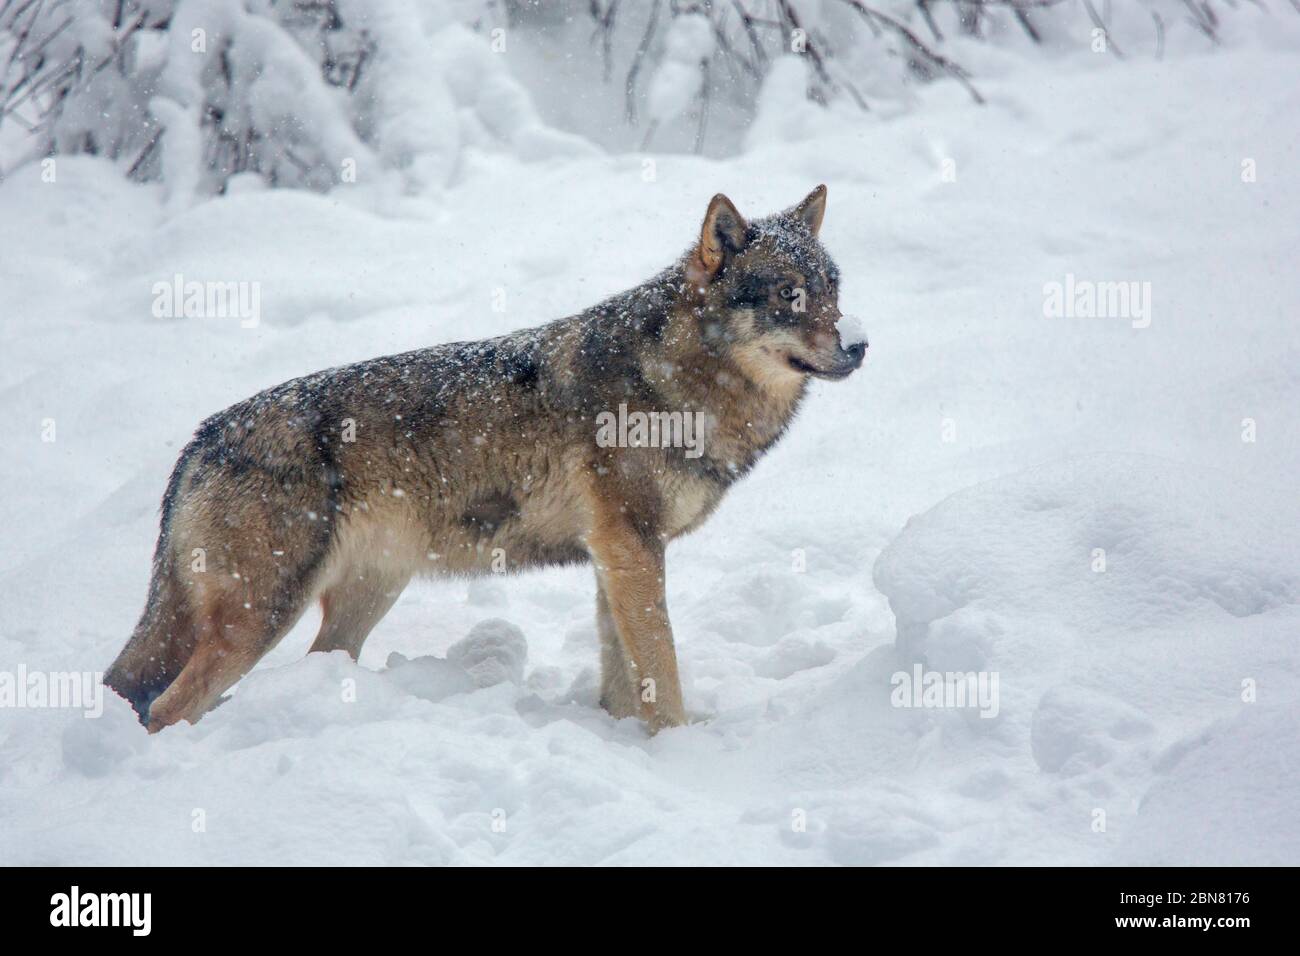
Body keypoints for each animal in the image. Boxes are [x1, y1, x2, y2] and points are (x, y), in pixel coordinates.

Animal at [105, 186, 866, 734]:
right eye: (791, 296)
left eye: (835, 291)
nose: (860, 344)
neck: (677, 381)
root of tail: (201, 439)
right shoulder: (631, 547)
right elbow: (660, 667)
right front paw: (678, 749)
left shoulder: (614, 556)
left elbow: (625, 674)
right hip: (263, 617)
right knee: (164, 708)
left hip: (361, 599)